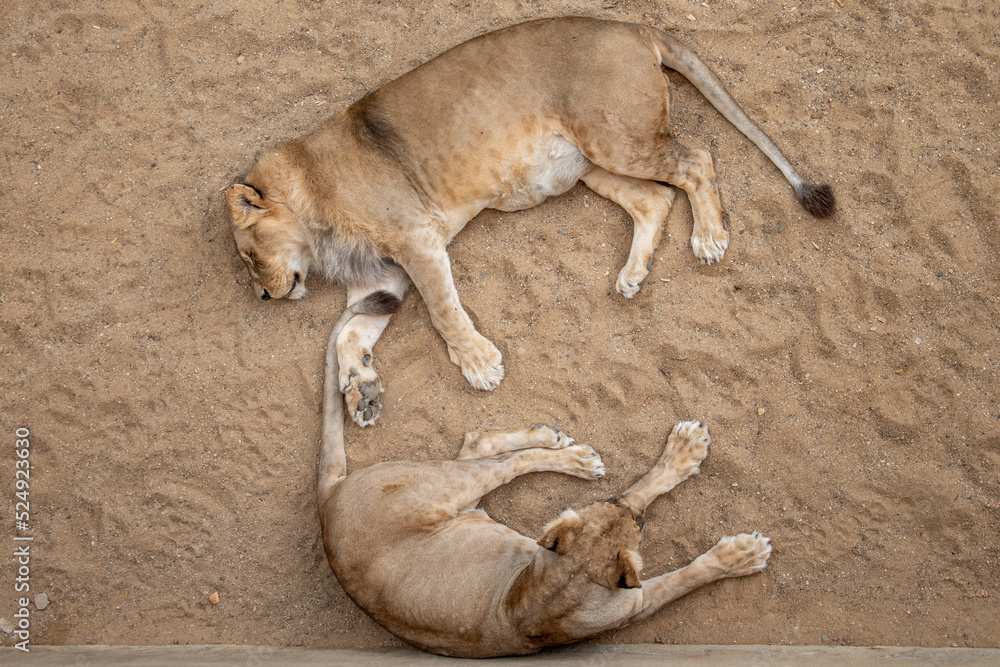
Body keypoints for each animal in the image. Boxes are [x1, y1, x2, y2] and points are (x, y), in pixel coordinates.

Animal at [226, 18, 835, 426]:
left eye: (248, 255)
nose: (263, 296)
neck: (312, 208)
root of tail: (629, 25)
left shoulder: (416, 242)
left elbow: (444, 311)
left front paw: (478, 365)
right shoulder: (384, 277)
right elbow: (348, 337)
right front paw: (360, 394)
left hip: (614, 137)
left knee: (697, 160)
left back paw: (708, 238)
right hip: (592, 163)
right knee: (654, 200)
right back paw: (632, 275)